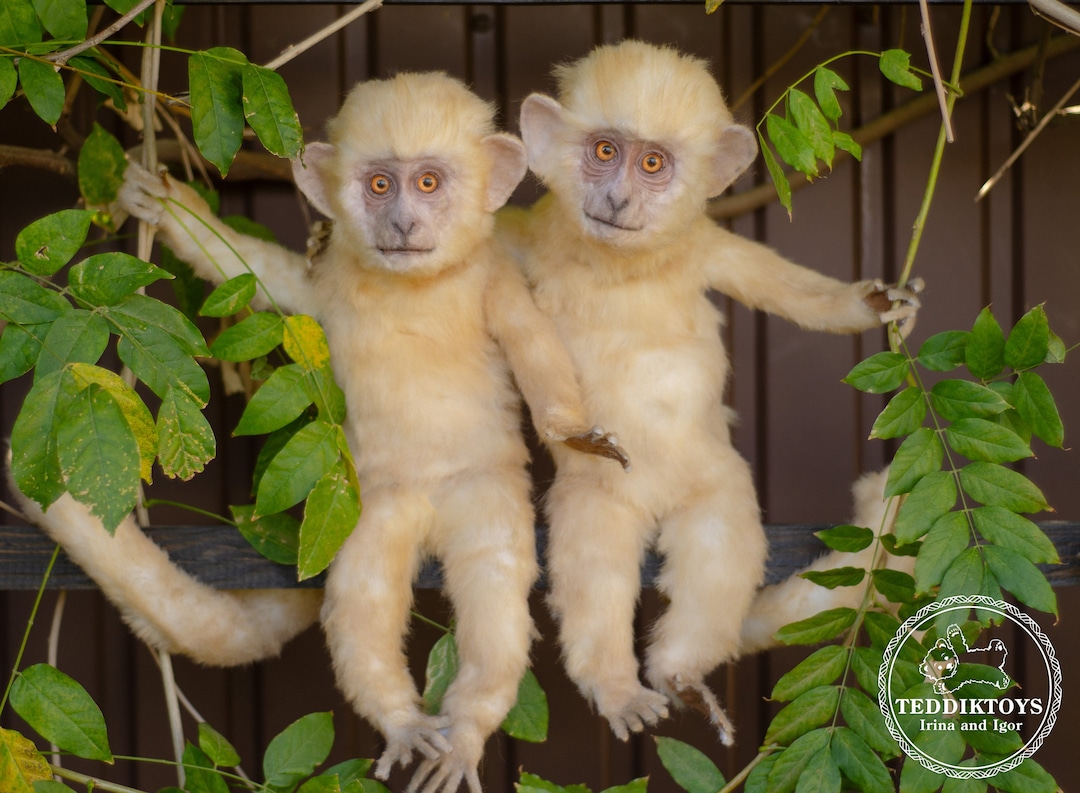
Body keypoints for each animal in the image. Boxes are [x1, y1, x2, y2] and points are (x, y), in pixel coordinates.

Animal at [17, 71, 628, 793]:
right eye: (380, 184)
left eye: (428, 183)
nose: (402, 223)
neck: (412, 285)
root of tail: (427, 513)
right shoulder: (328, 291)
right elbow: (264, 281)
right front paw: (160, 204)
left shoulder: (494, 279)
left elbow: (533, 347)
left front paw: (576, 433)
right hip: (366, 504)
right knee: (364, 594)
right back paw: (402, 720)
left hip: (481, 489)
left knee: (495, 583)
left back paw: (466, 728)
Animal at [498, 40, 922, 745]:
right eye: (605, 151)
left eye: (652, 164)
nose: (617, 198)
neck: (622, 264)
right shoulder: (520, 243)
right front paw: (570, 429)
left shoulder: (704, 247)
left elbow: (796, 294)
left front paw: (874, 304)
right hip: (602, 496)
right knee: (595, 561)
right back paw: (619, 687)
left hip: (712, 479)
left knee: (720, 542)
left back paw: (683, 674)